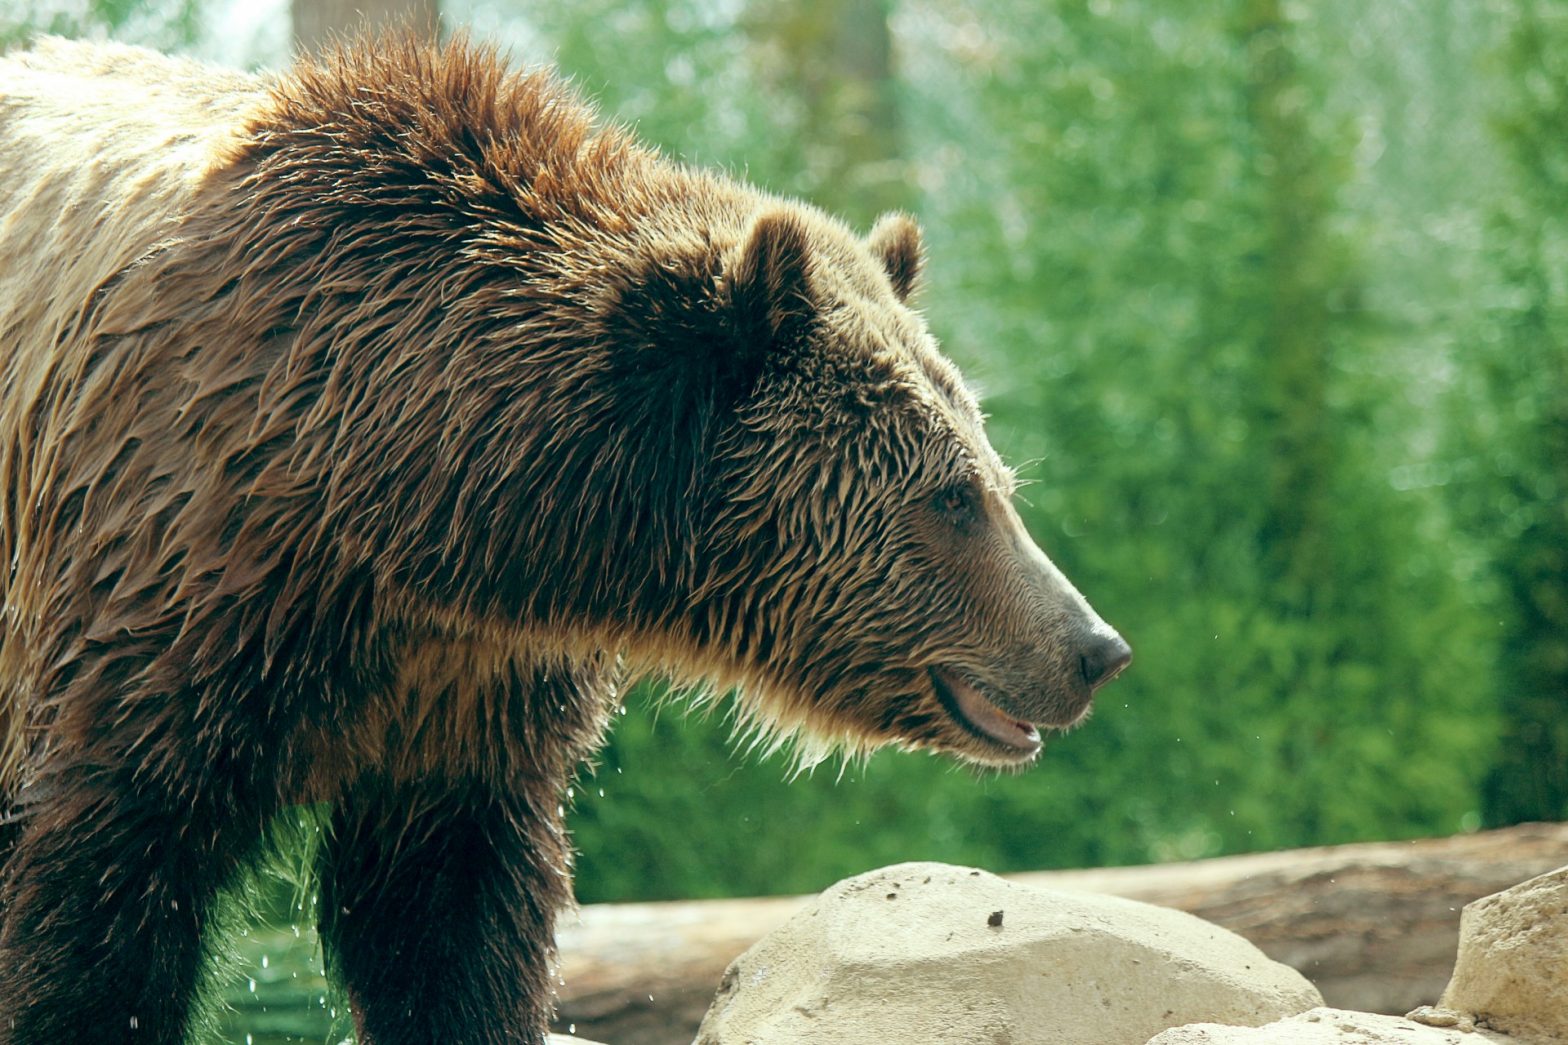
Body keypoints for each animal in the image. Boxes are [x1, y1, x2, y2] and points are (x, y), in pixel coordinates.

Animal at [0, 34, 1130, 1045]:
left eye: (997, 479)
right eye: (951, 496)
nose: (1093, 647)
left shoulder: (462, 697)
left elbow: (451, 923)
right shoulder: (179, 570)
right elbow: (102, 887)